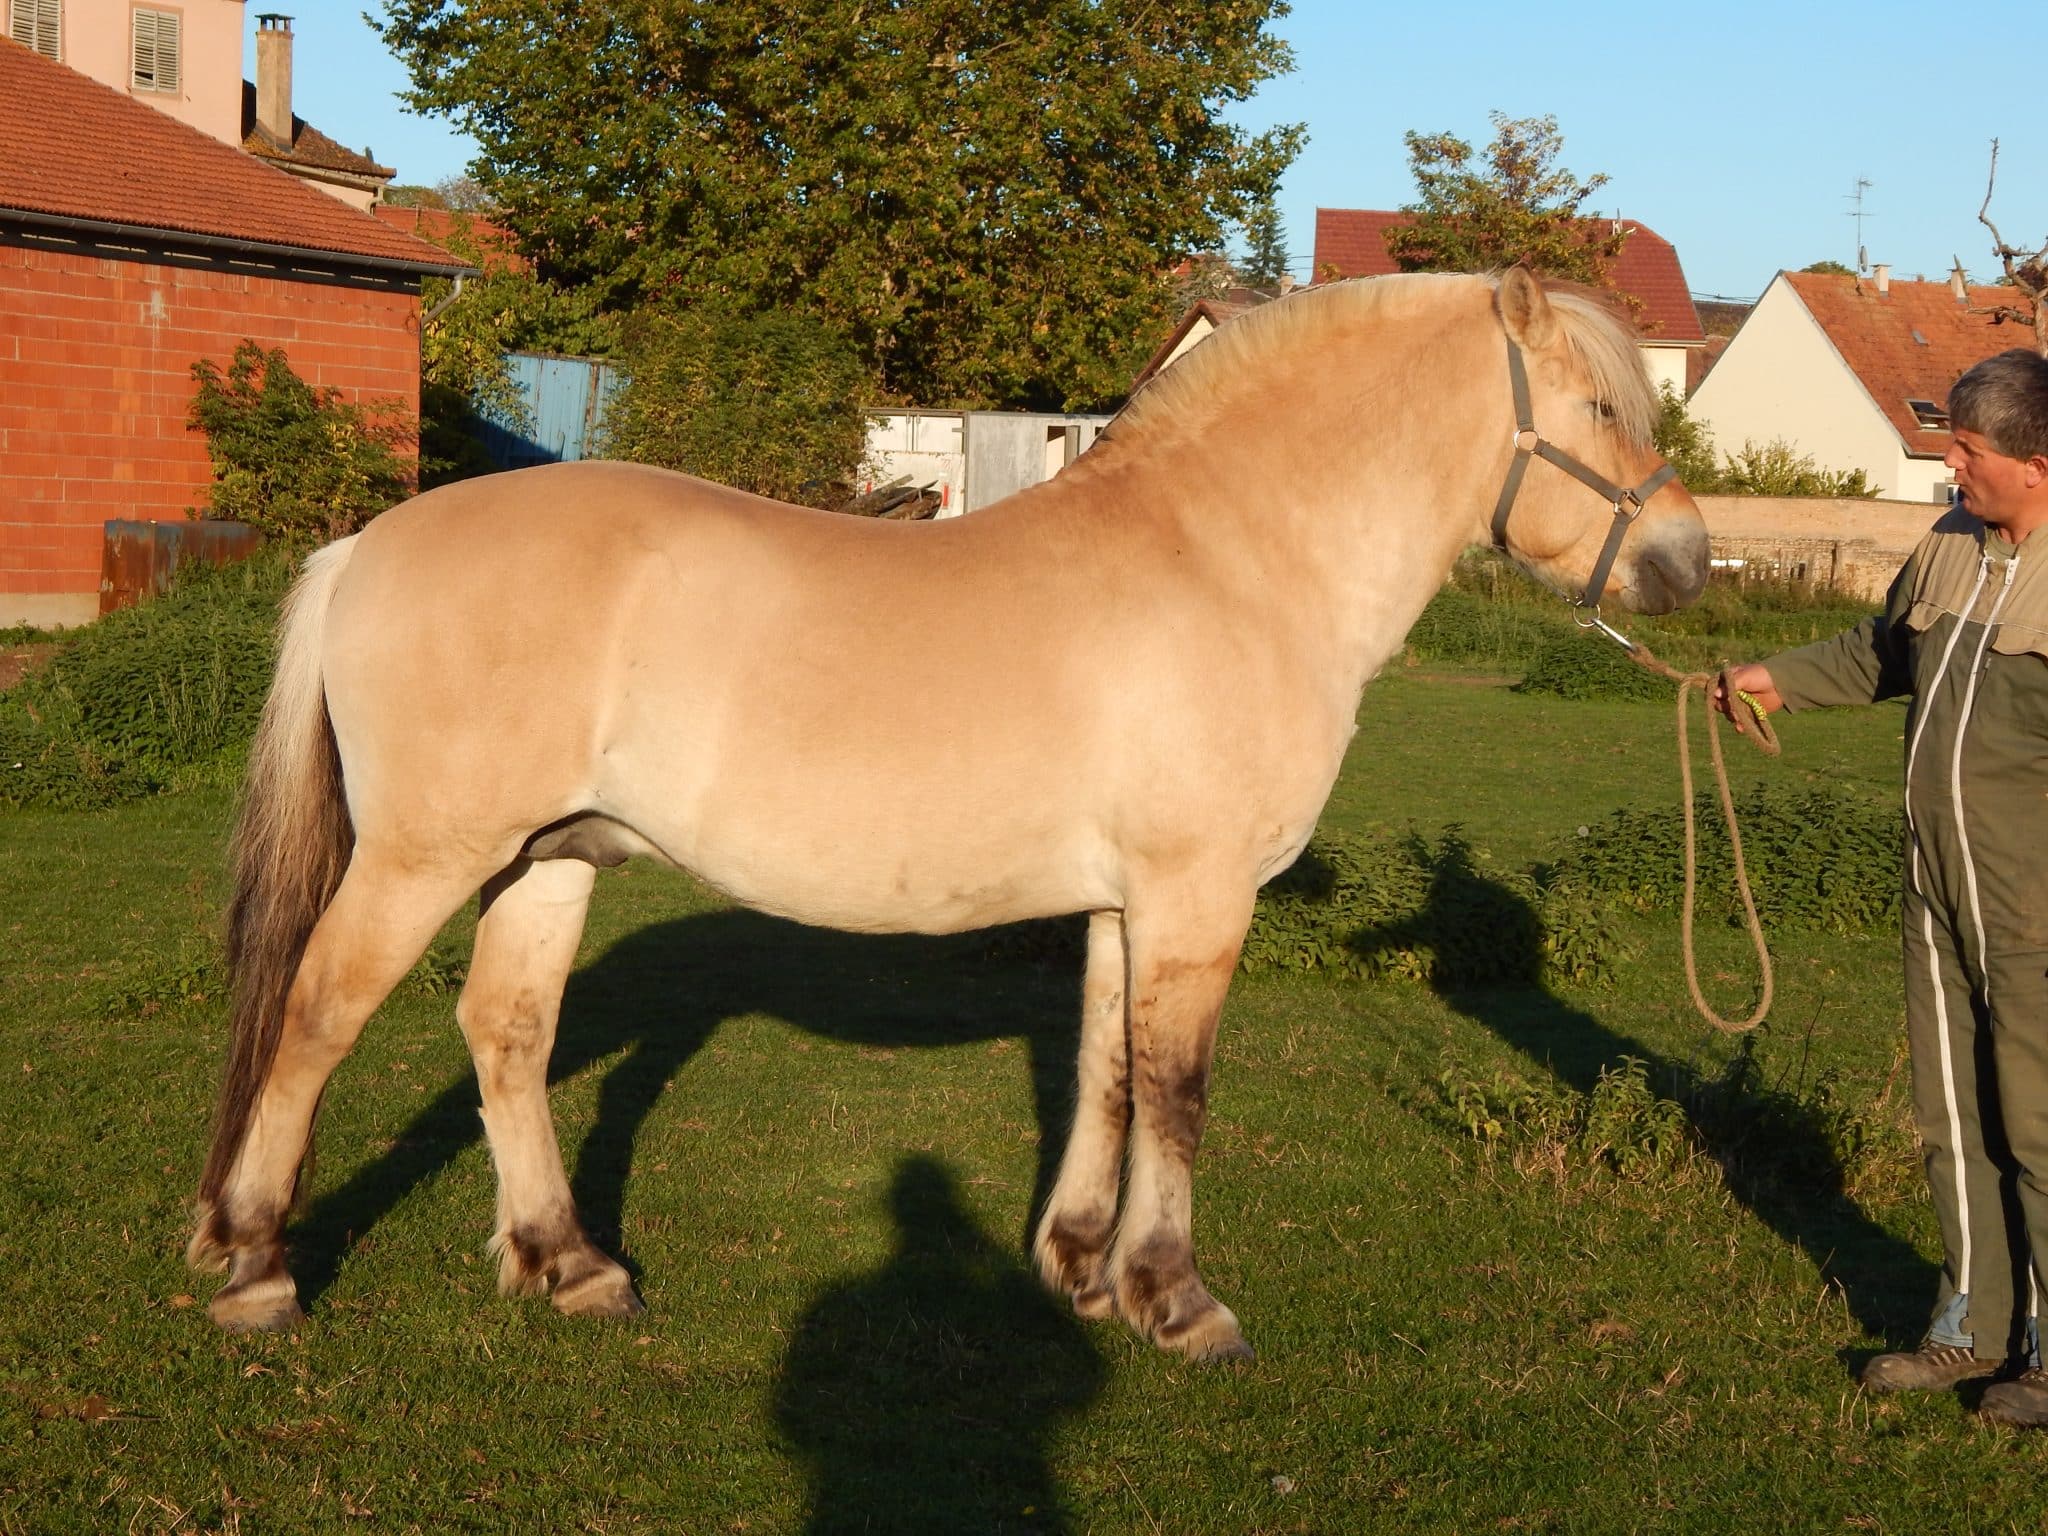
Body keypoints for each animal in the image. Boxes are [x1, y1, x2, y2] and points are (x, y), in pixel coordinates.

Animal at [187, 268, 1709, 1362]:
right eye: (1602, 415)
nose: (1688, 564)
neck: (1228, 559)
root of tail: (364, 545)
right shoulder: (1199, 897)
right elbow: (1177, 1090)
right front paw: (1177, 1298)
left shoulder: (1125, 904)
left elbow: (1105, 1069)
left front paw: (1081, 1270)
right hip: (421, 860)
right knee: (316, 1018)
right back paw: (257, 1263)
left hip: (547, 859)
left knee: (505, 1034)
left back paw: (569, 1265)